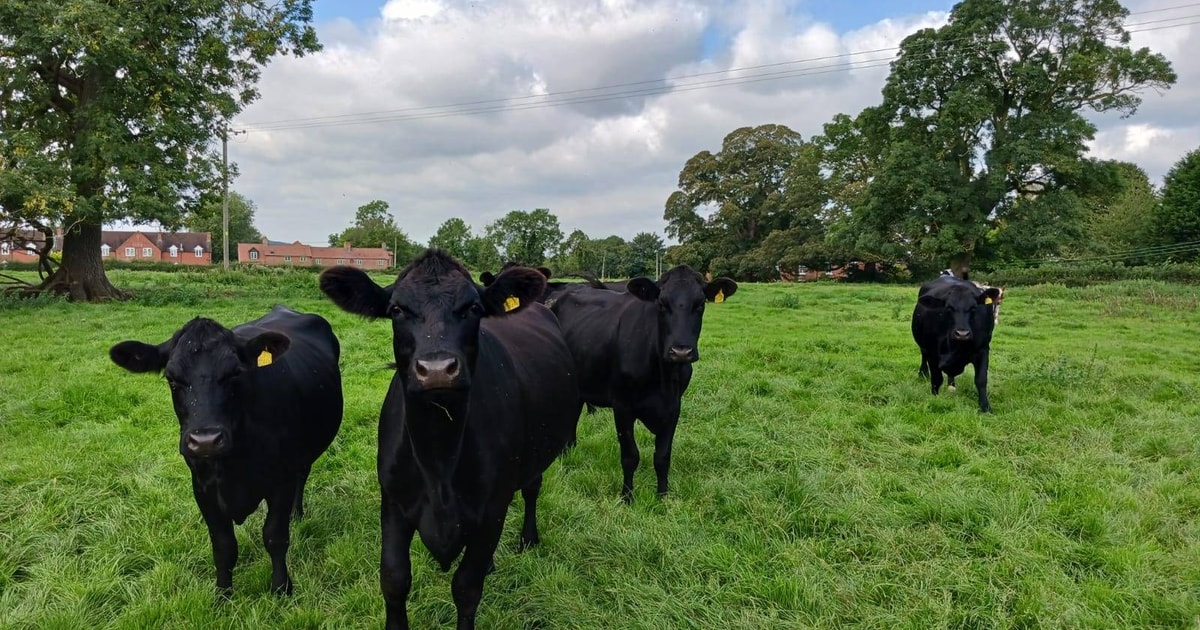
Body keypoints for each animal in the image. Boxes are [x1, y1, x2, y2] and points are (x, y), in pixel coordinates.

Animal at [108, 305, 343, 596]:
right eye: (172, 379)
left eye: (234, 374)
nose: (206, 440)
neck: (234, 463)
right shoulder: (203, 488)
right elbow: (223, 546)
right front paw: (222, 594)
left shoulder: (282, 480)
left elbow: (275, 537)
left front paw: (281, 588)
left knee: (303, 474)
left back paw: (296, 514)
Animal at [319, 250, 582, 630]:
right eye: (396, 309)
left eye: (472, 308)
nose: (437, 370)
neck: (438, 460)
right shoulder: (394, 502)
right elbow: (394, 579)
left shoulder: (493, 509)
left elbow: (467, 588)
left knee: (532, 488)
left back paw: (528, 538)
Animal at [550, 265, 736, 502]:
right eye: (661, 304)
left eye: (700, 303)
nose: (681, 351)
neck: (662, 378)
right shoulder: (622, 406)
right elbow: (630, 456)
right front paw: (627, 497)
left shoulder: (674, 407)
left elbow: (662, 456)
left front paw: (663, 496)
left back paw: (570, 451)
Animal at [912, 275, 1001, 412]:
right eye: (949, 308)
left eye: (973, 308)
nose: (962, 334)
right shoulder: (933, 353)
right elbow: (936, 378)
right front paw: (935, 399)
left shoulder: (983, 349)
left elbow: (981, 380)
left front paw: (985, 407)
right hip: (924, 346)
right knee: (923, 356)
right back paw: (923, 373)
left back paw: (951, 385)